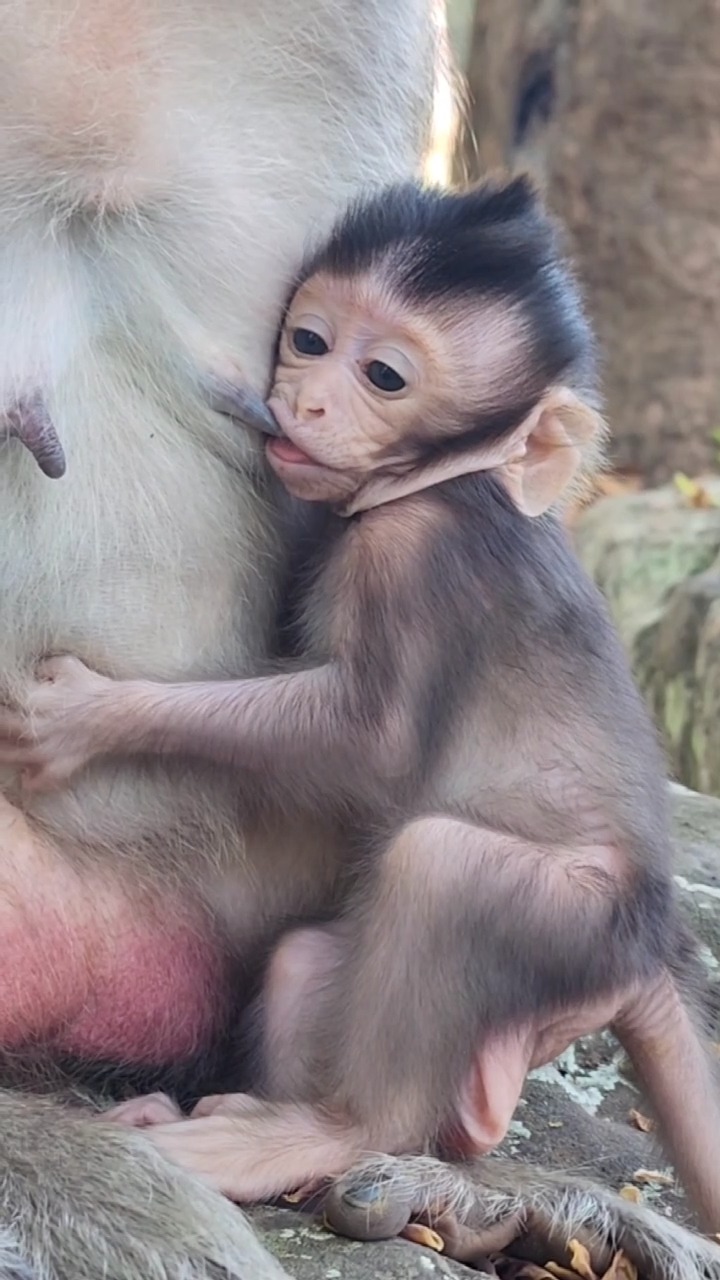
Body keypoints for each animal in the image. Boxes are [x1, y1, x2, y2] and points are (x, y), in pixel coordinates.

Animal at [4, 176, 720, 1279]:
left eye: (384, 375)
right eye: (308, 338)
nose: (304, 401)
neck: (446, 481)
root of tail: (654, 944)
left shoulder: (416, 554)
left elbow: (370, 740)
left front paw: (89, 717)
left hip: (578, 918)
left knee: (438, 868)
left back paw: (332, 1131)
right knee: (307, 960)